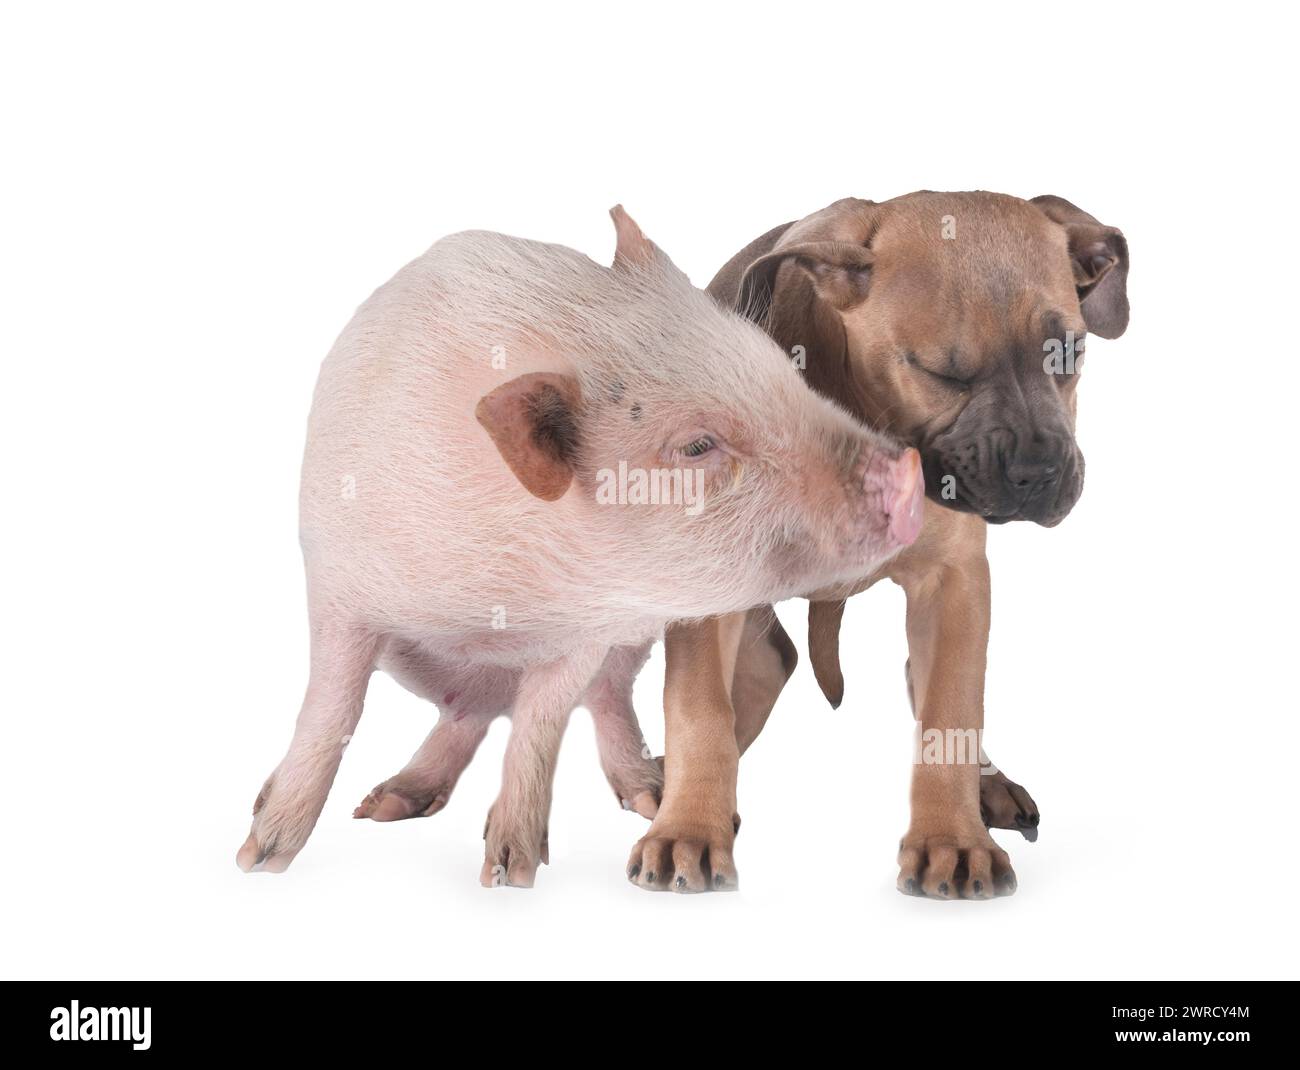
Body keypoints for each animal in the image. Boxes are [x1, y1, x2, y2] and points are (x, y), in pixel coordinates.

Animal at [236, 207, 924, 886]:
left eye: (782, 371)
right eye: (698, 446)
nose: (911, 470)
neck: (497, 596)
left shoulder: (593, 627)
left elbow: (542, 722)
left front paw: (509, 873)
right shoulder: (336, 584)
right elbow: (331, 708)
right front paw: (260, 857)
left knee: (593, 700)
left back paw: (648, 793)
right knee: (466, 714)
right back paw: (382, 805)